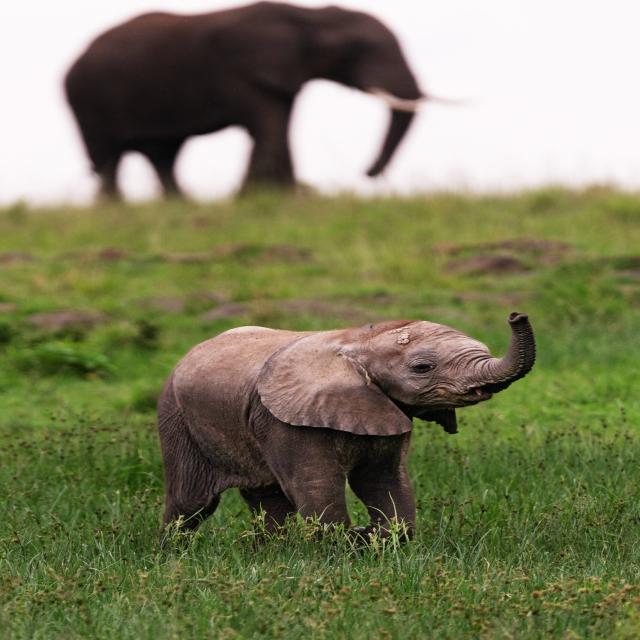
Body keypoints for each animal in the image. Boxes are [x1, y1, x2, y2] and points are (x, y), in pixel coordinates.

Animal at [64, 2, 425, 200]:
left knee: (163, 156)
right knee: (108, 159)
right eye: (361, 48)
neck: (308, 15)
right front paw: (254, 199)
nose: (367, 174)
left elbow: (279, 131)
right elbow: (270, 131)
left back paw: (179, 204)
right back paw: (115, 208)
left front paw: (286, 198)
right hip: (87, 99)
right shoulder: (244, 74)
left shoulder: (280, 78)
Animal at [157, 312, 535, 540]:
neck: (359, 341)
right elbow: (317, 487)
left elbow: (383, 480)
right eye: (422, 368)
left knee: (268, 502)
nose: (516, 315)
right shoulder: (286, 421)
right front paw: (346, 546)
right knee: (192, 502)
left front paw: (380, 540)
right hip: (176, 418)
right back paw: (171, 555)